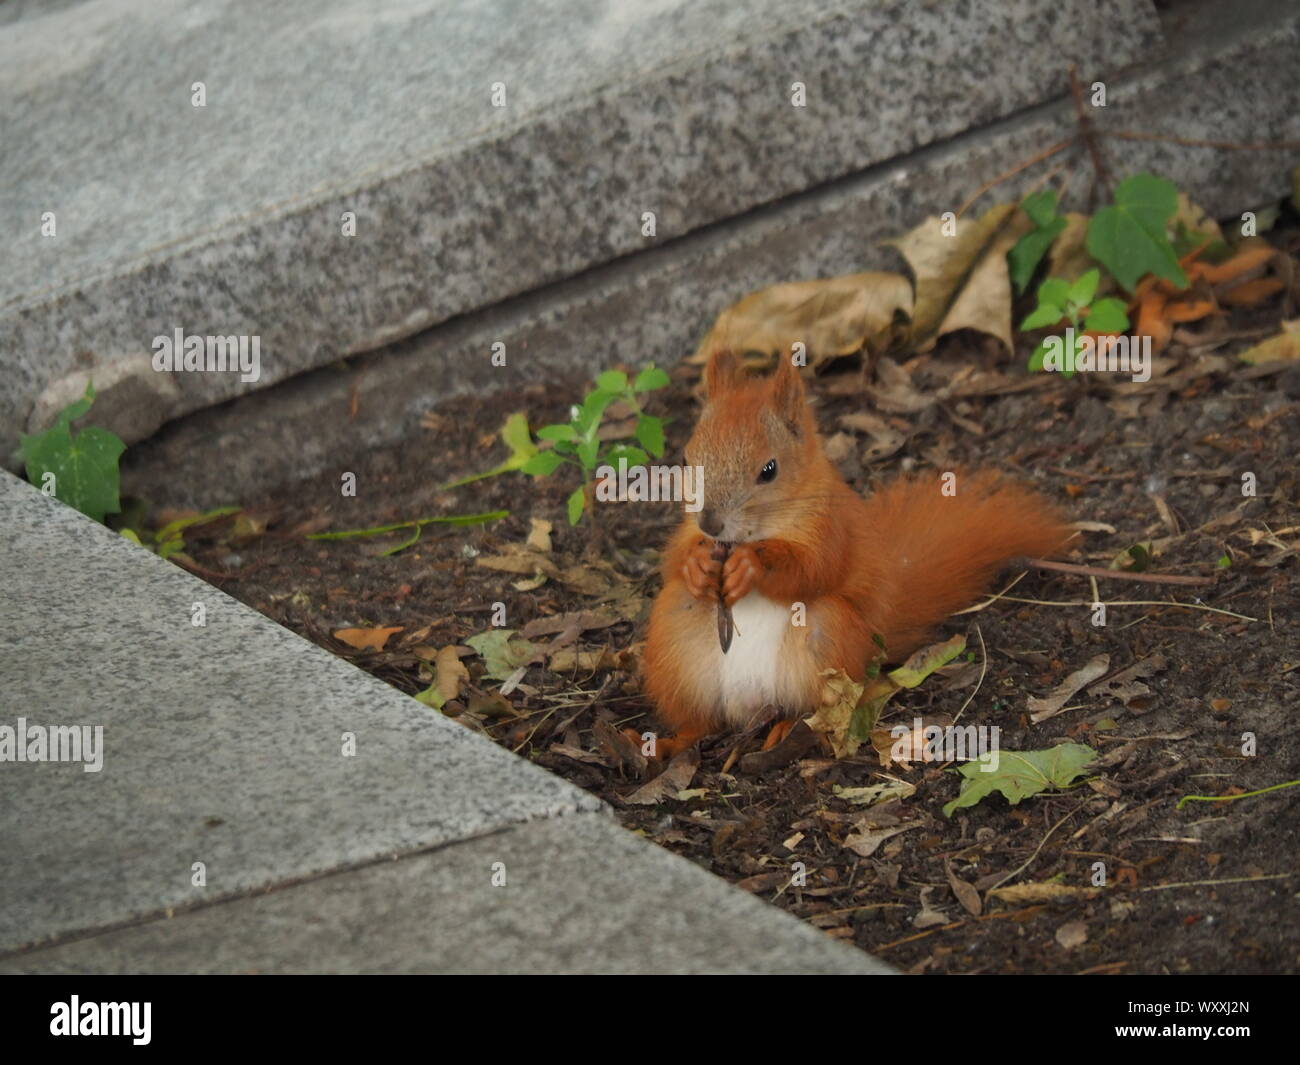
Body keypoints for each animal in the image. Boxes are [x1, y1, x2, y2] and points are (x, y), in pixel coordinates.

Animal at [640, 349, 1070, 758]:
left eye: (769, 470)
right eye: (685, 460)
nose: (710, 524)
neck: (759, 532)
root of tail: (750, 705)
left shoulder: (832, 528)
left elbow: (814, 570)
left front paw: (751, 565)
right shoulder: (688, 529)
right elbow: (671, 560)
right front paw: (696, 564)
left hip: (828, 637)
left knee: (809, 707)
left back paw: (788, 729)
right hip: (676, 643)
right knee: (701, 720)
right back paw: (673, 743)